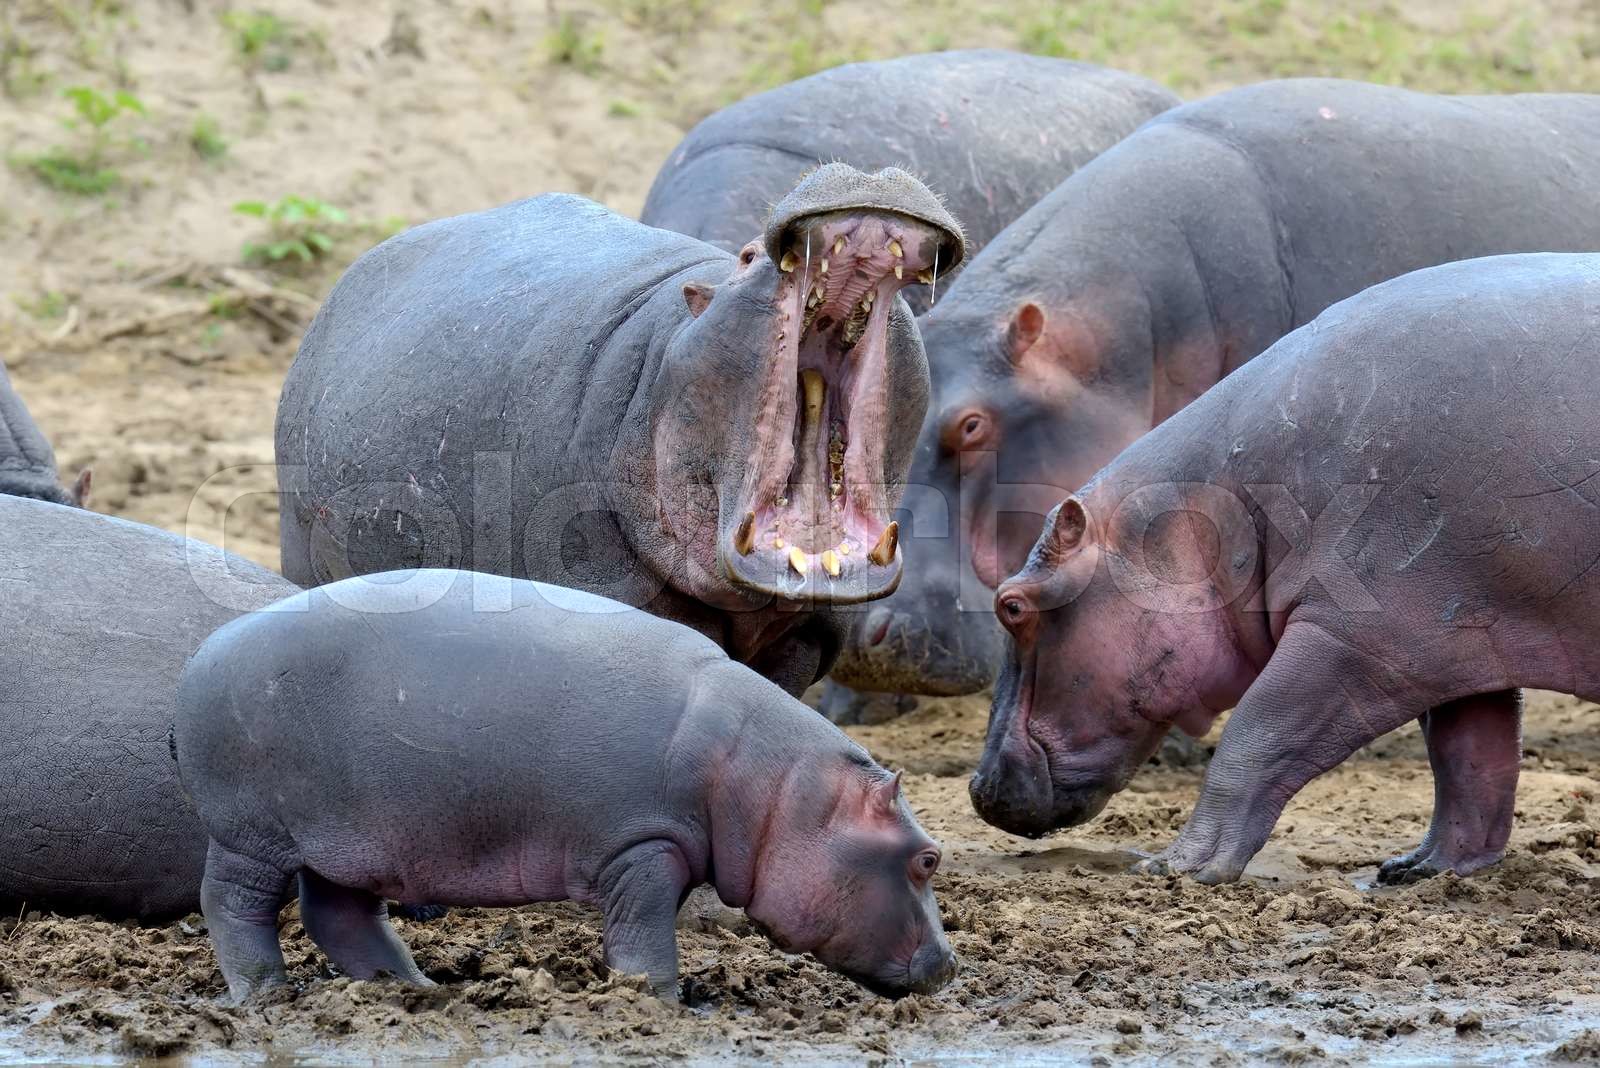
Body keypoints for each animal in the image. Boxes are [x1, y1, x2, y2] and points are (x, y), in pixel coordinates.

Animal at [172, 569, 955, 1001]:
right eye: (928, 857)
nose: (951, 964)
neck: (782, 789)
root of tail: (201, 654)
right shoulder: (643, 845)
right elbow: (643, 933)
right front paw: (661, 1002)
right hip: (252, 834)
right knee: (233, 905)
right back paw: (268, 997)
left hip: (347, 841)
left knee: (338, 914)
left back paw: (412, 989)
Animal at [974, 253, 1600, 884]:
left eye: (1011, 605)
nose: (978, 787)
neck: (1209, 511)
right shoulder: (1464, 632)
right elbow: (1471, 760)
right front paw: (1416, 871)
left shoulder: (1353, 636)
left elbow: (1256, 735)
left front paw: (1177, 867)